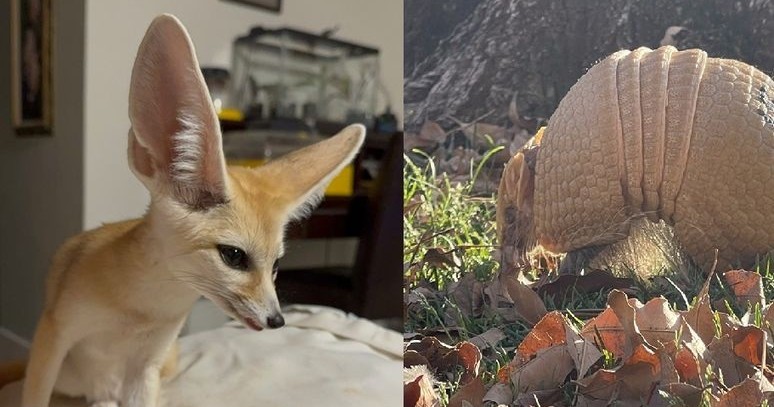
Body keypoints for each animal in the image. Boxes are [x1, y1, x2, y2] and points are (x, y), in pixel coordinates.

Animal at [1, 14, 365, 407]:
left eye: (277, 265)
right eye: (234, 256)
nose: (277, 321)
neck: (140, 311)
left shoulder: (144, 367)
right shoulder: (51, 340)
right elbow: (34, 396)